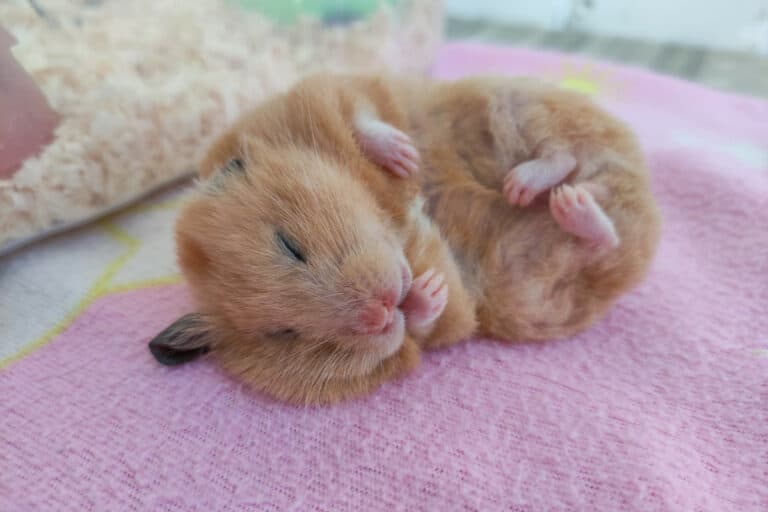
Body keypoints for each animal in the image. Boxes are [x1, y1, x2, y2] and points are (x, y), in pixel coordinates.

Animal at [148, 73, 660, 405]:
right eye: (284, 335)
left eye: (289, 246)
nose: (379, 311)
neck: (393, 224)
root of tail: (643, 199)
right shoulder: (455, 319)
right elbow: (433, 321)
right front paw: (427, 291)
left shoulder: (319, 95)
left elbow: (361, 116)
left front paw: (401, 155)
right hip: (534, 290)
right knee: (602, 240)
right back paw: (572, 207)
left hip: (522, 106)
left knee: (562, 154)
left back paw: (529, 186)